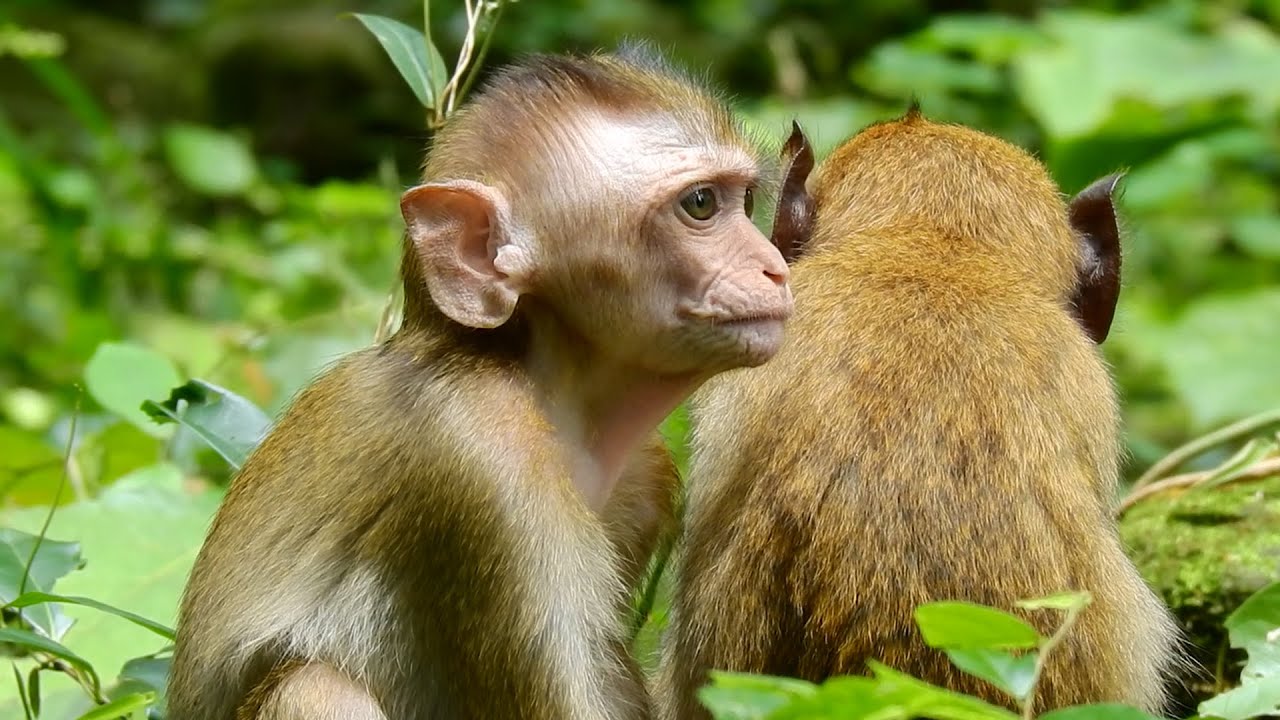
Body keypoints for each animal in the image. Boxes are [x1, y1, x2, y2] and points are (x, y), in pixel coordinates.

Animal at [165, 46, 802, 720]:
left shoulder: (644, 479)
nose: (775, 267)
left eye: (743, 200)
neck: (539, 384)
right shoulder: (486, 467)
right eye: (701, 204)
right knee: (315, 685)